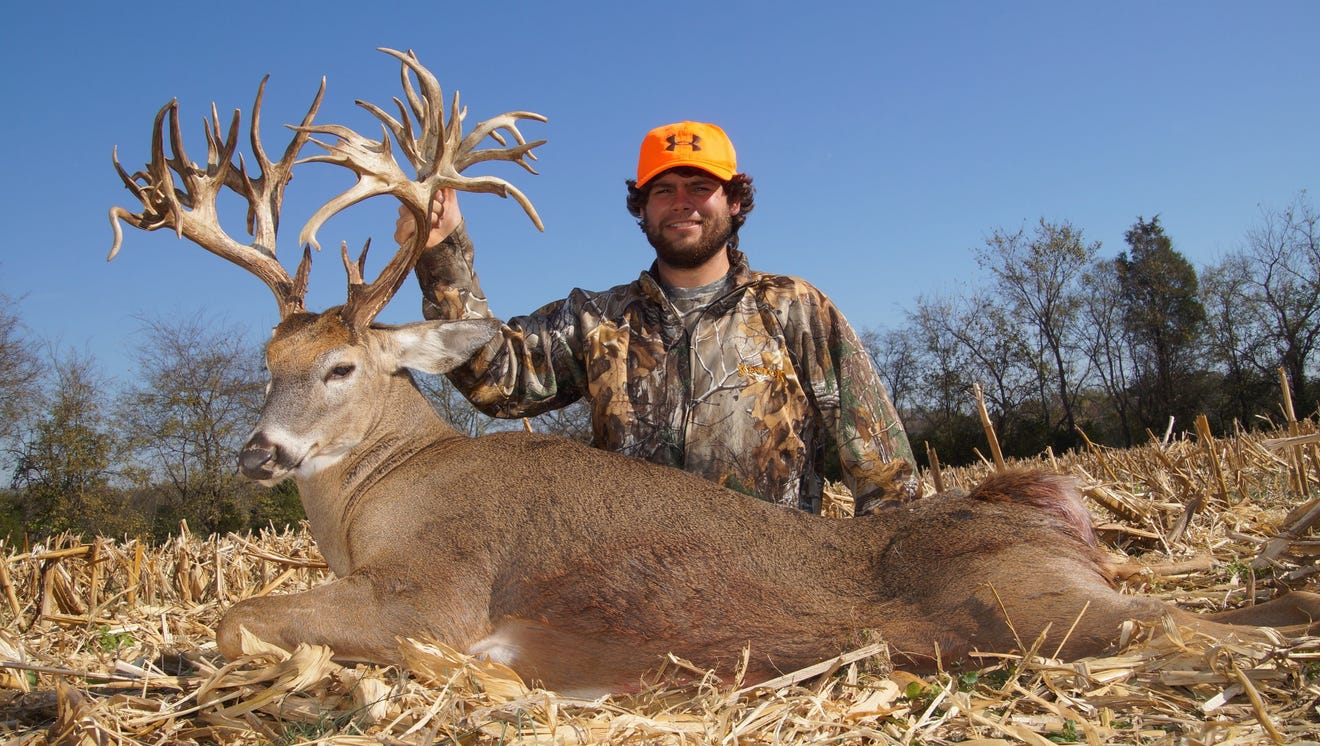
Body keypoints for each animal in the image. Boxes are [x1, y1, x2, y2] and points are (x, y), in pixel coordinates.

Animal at [109, 49, 1320, 697]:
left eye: (342, 366)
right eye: (265, 361)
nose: (259, 450)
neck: (373, 500)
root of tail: (1055, 517)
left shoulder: (437, 587)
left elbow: (234, 618)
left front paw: (484, 678)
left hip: (1036, 603)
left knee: (1198, 628)